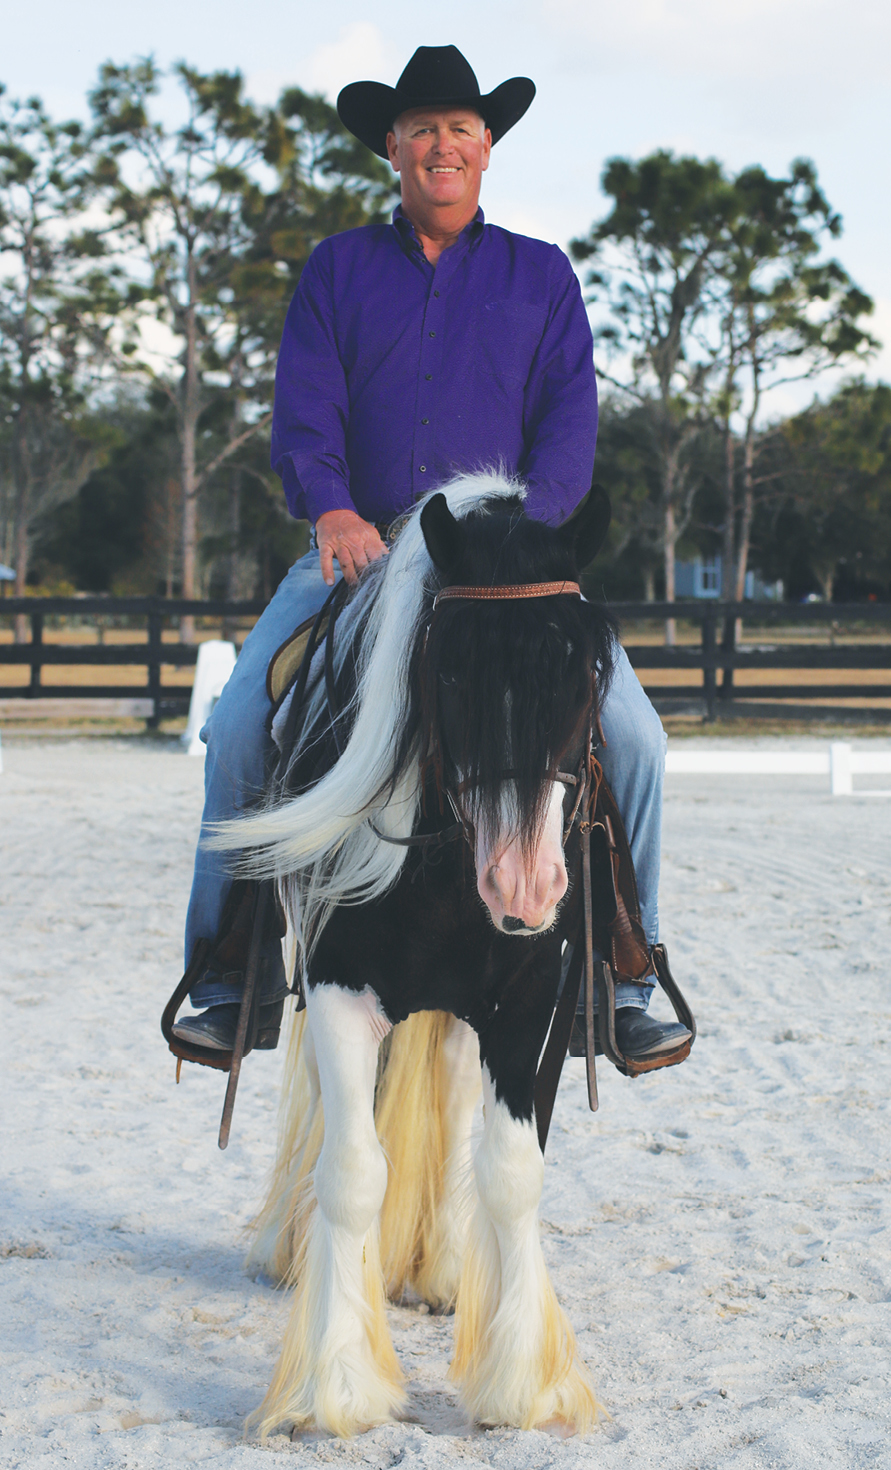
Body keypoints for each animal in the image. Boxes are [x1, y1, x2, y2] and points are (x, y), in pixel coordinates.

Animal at [210, 471, 618, 1439]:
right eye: (452, 666)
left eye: (588, 672)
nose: (522, 886)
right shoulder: (335, 989)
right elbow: (354, 1173)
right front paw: (333, 1388)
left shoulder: (529, 996)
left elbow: (512, 1171)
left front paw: (521, 1383)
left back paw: (441, 1271)